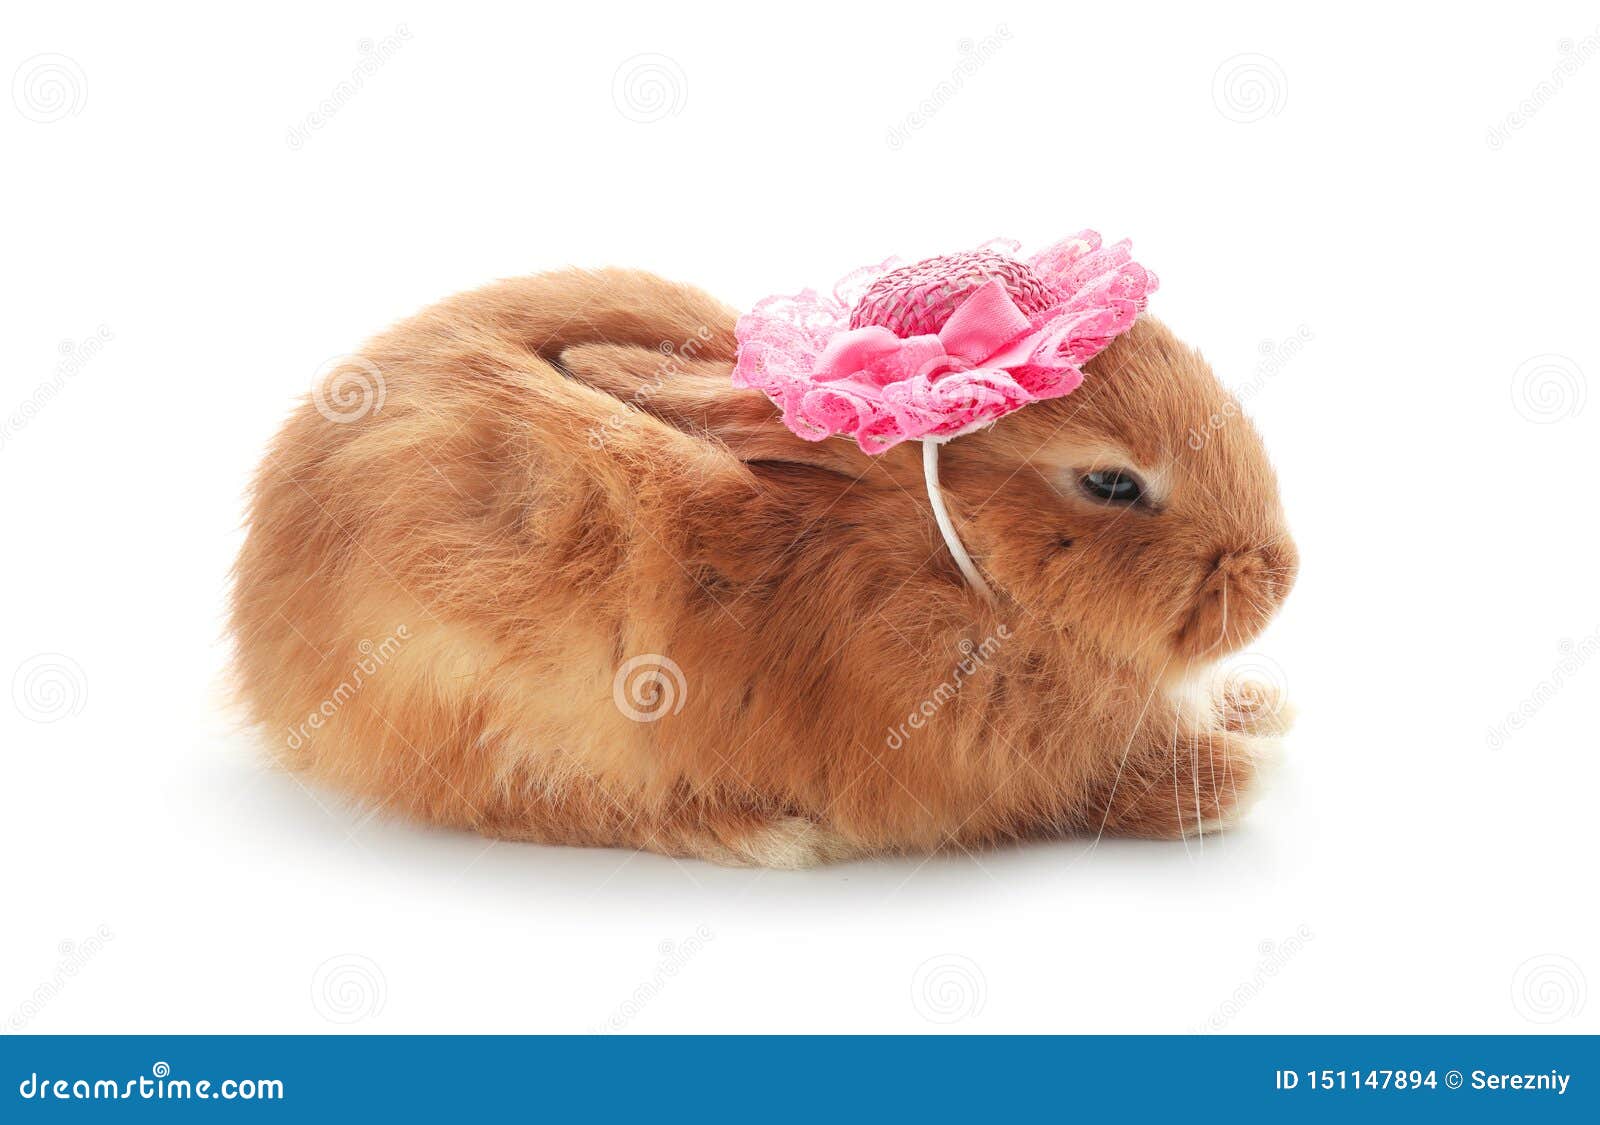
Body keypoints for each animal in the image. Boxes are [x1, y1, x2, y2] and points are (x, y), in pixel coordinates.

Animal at [230, 267, 1297, 868]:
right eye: (1112, 482)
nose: (1279, 577)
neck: (949, 567)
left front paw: (1260, 708)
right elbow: (1132, 784)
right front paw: (1239, 774)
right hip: (502, 686)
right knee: (549, 802)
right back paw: (769, 836)